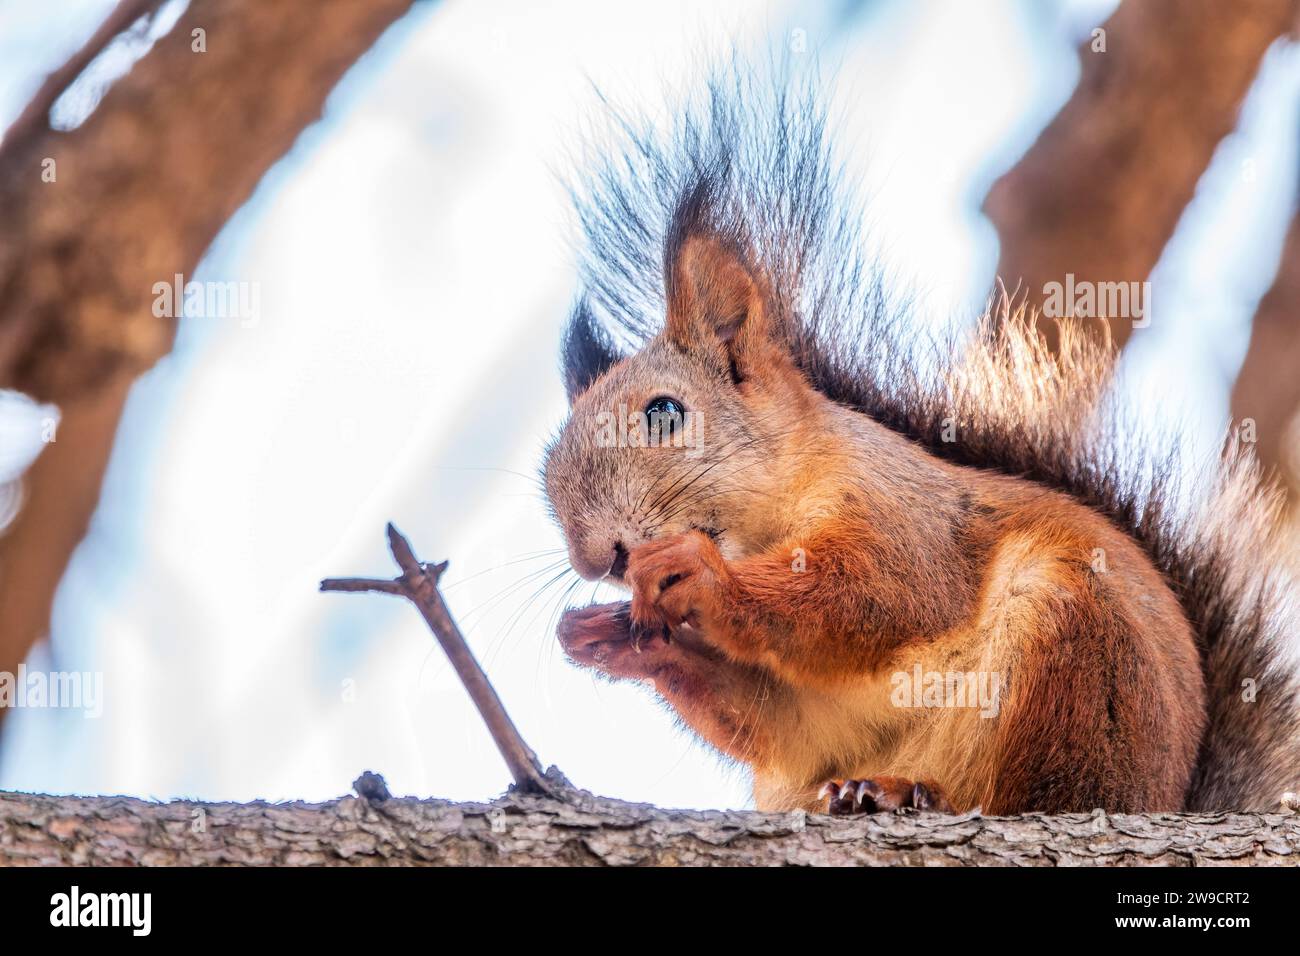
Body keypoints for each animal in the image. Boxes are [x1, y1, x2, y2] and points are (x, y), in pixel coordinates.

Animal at [542, 70, 1300, 816]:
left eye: (666, 413)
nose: (598, 559)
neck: (770, 518)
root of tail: (1165, 797)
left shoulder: (902, 508)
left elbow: (881, 593)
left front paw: (701, 574)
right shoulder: (804, 711)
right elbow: (778, 718)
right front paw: (613, 640)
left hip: (1078, 639)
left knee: (1042, 796)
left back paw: (916, 791)